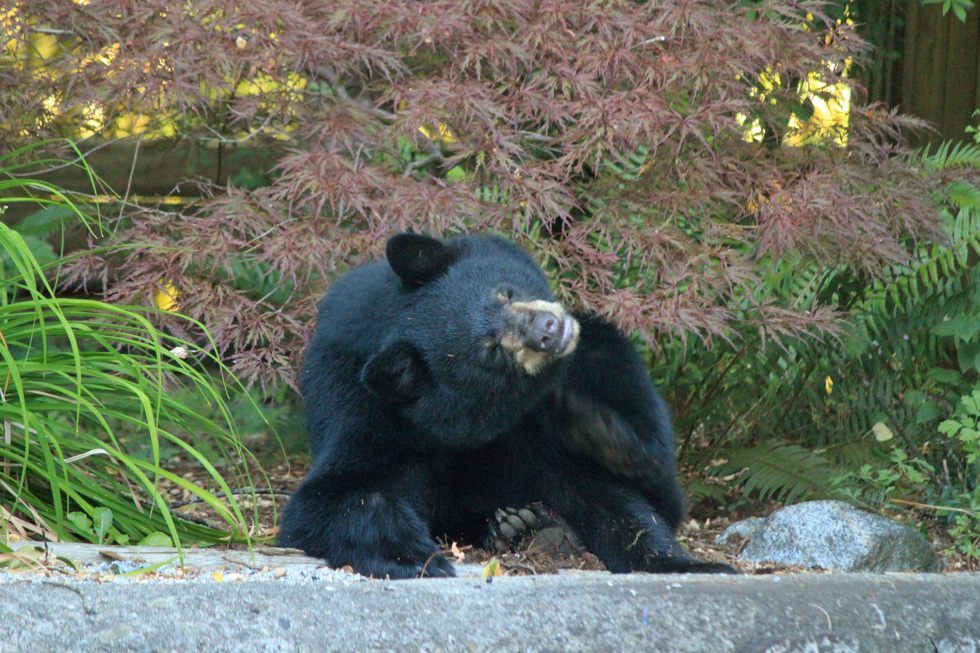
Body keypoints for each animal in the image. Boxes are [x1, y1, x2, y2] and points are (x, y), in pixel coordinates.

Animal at [278, 232, 735, 578]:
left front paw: (595, 426)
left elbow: (652, 480)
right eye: (493, 351)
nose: (547, 330)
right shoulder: (360, 408)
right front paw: (419, 557)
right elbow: (335, 494)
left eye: (504, 292)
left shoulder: (598, 354)